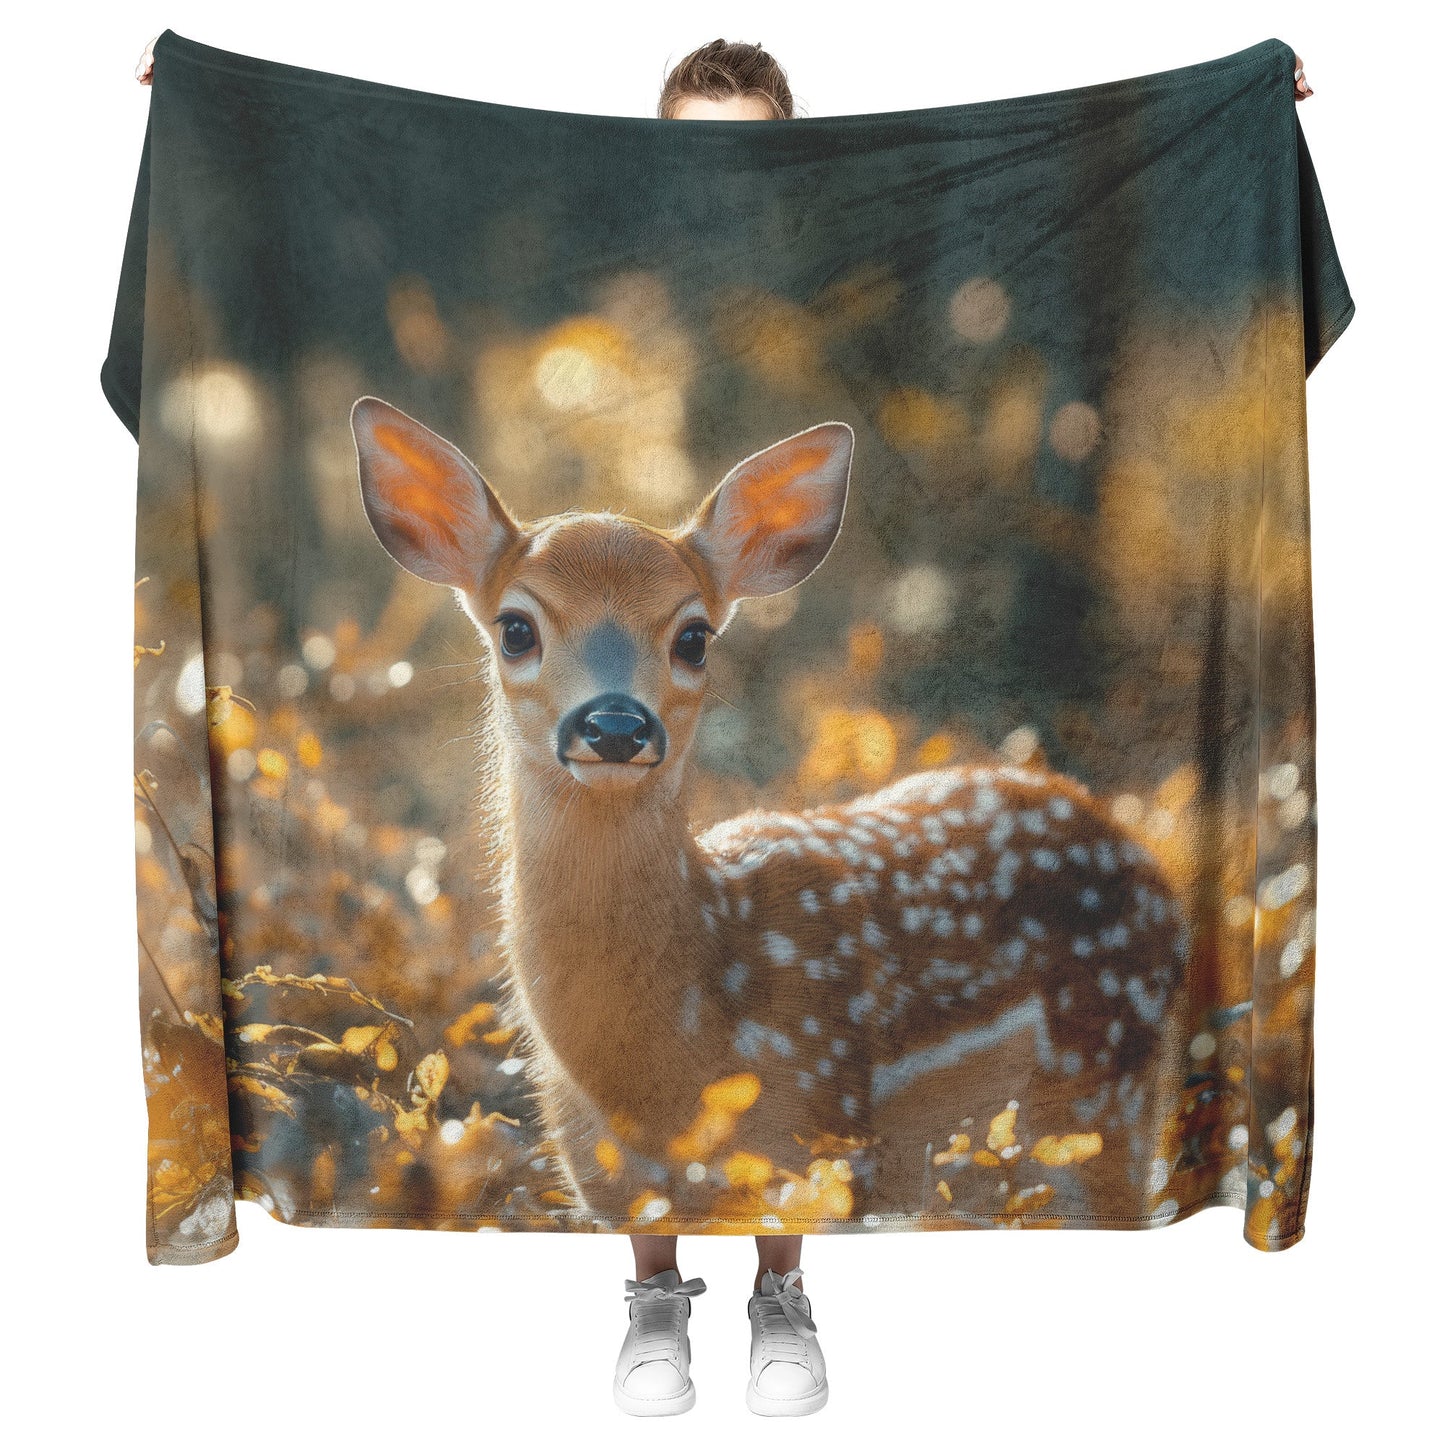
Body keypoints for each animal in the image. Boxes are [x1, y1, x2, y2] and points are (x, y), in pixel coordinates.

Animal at [350, 395, 1192, 1232]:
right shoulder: (607, 1188)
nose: (616, 725)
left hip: (1099, 1100)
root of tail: (1139, 854)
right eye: (516, 627)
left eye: (693, 635)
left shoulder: (819, 1135)